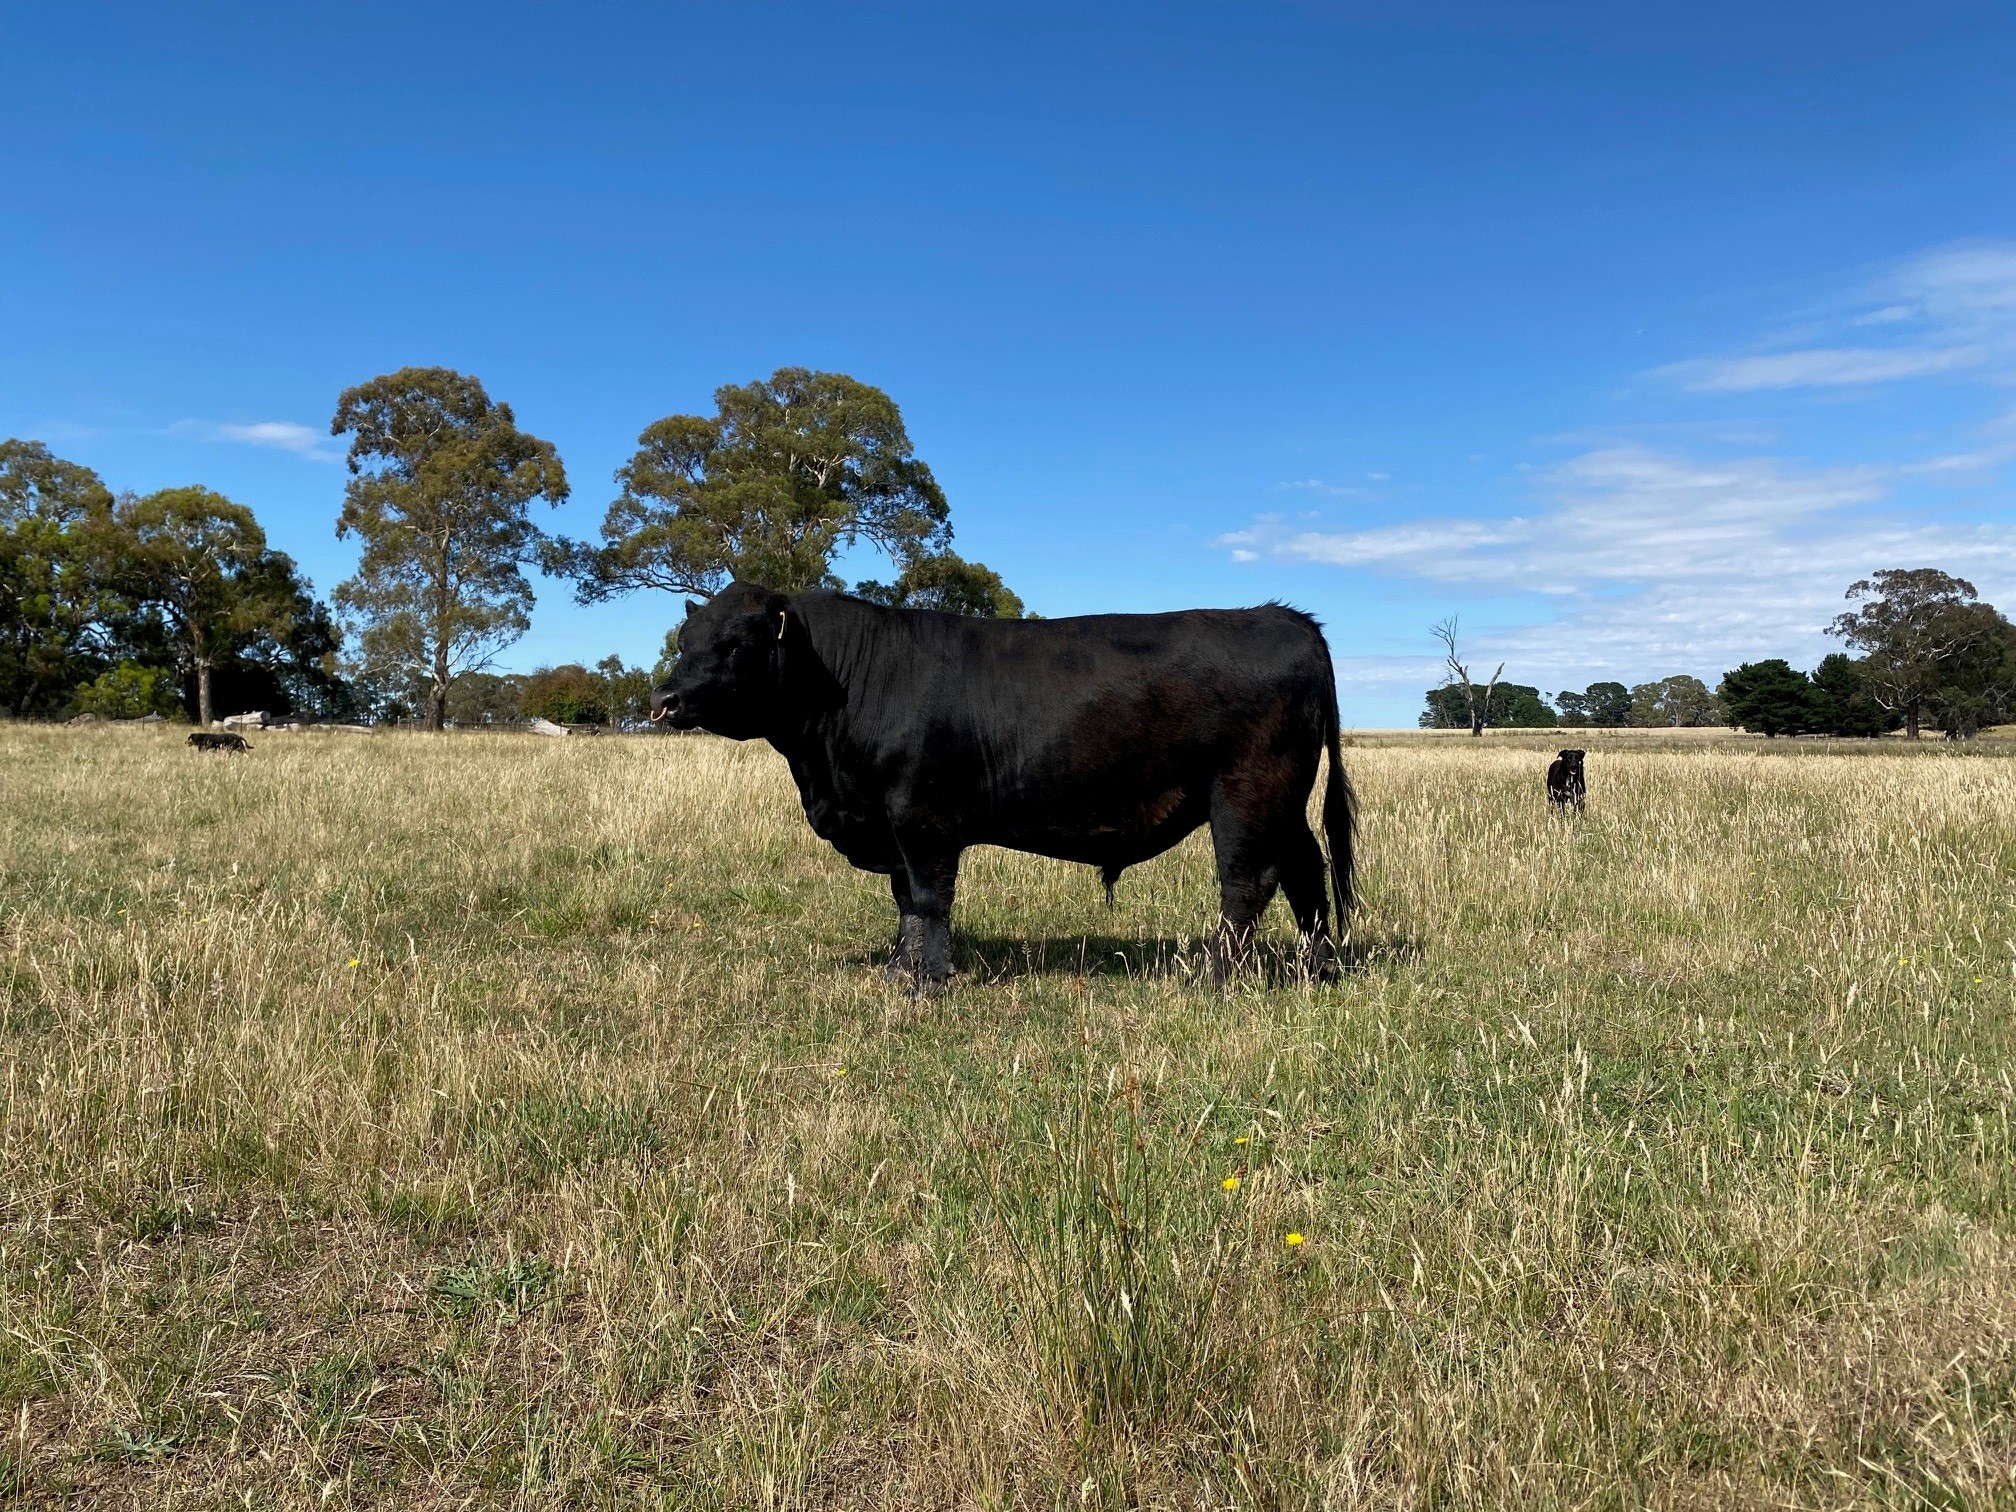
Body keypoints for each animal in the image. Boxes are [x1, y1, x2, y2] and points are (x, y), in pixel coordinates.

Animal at [649, 582, 1355, 992]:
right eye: (683, 641)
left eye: (734, 645)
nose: (663, 700)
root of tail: (1286, 618)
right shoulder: (891, 825)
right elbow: (905, 902)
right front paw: (900, 971)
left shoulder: (921, 816)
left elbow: (929, 899)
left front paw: (931, 981)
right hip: (1283, 802)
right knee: (1306, 872)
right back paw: (1319, 969)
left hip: (1246, 793)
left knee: (1247, 883)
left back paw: (1212, 979)